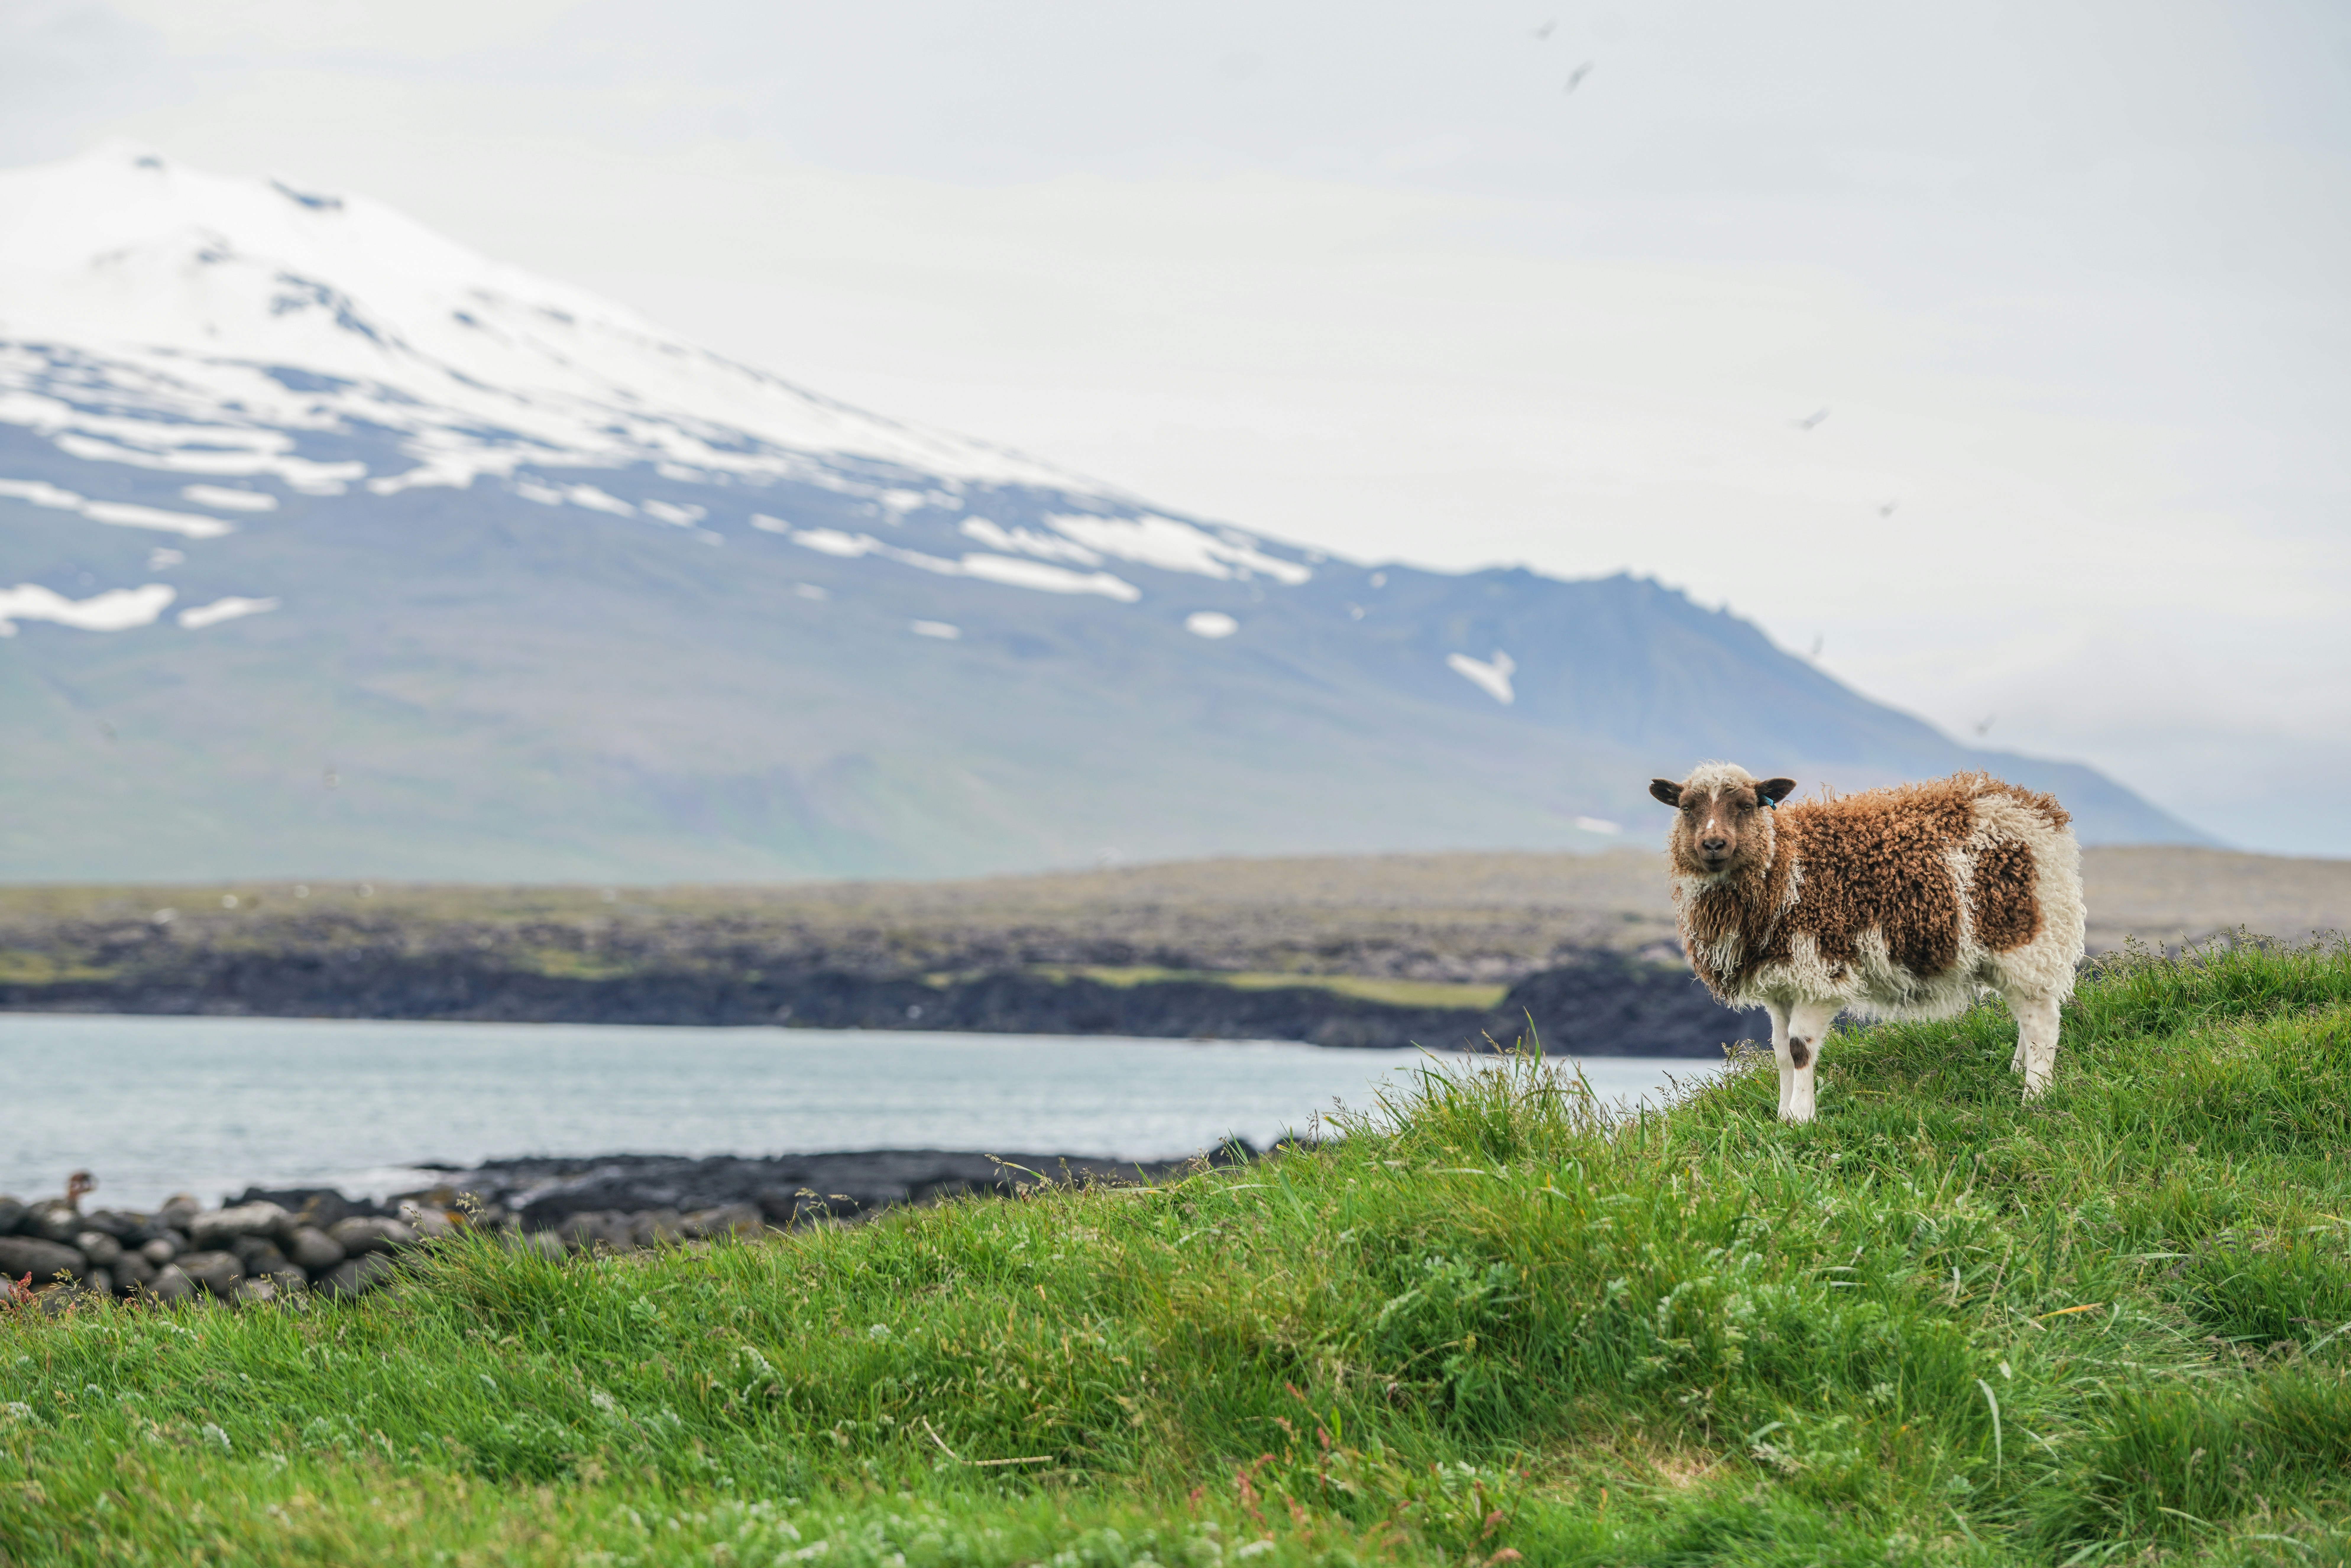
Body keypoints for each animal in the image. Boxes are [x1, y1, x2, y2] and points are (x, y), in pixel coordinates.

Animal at [1647, 763, 2085, 1122]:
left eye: (1746, 805)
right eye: (1686, 808)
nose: (1713, 845)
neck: (1784, 868)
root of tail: (2040, 811)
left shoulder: (1818, 972)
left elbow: (1799, 1048)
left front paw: (1801, 1118)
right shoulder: (1780, 982)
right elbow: (1780, 1052)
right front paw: (1781, 1116)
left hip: (2025, 938)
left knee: (2042, 1021)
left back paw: (2035, 1097)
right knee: (2027, 1016)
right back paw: (2017, 1074)